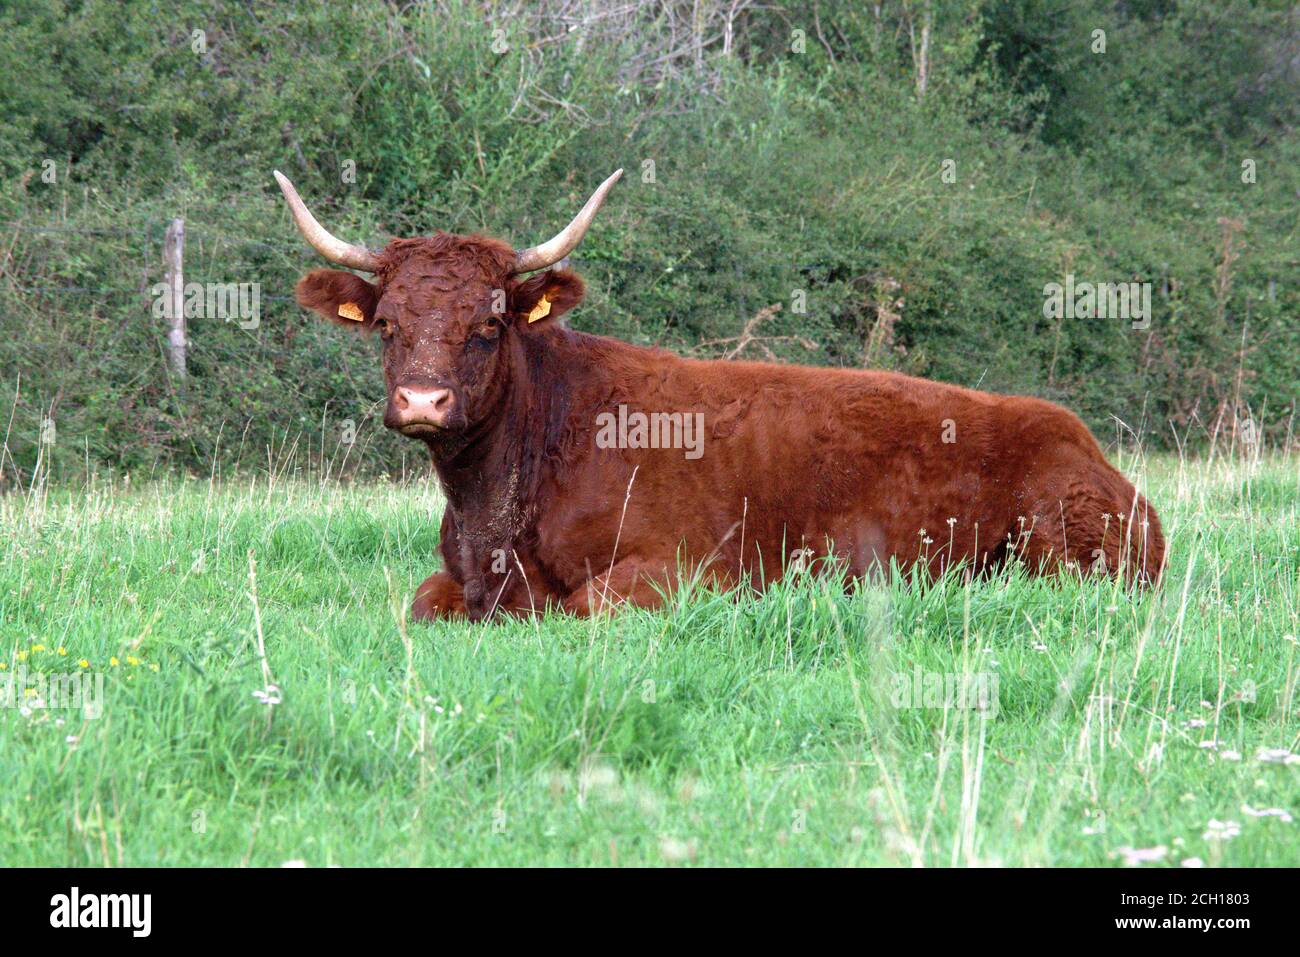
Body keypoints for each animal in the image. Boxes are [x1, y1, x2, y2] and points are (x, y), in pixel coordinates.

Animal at [275, 169, 1165, 621]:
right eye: (387, 323)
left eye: (489, 323)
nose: (423, 401)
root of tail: (1079, 437)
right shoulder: (453, 577)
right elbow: (422, 603)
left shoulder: (684, 571)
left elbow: (580, 605)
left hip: (1065, 548)